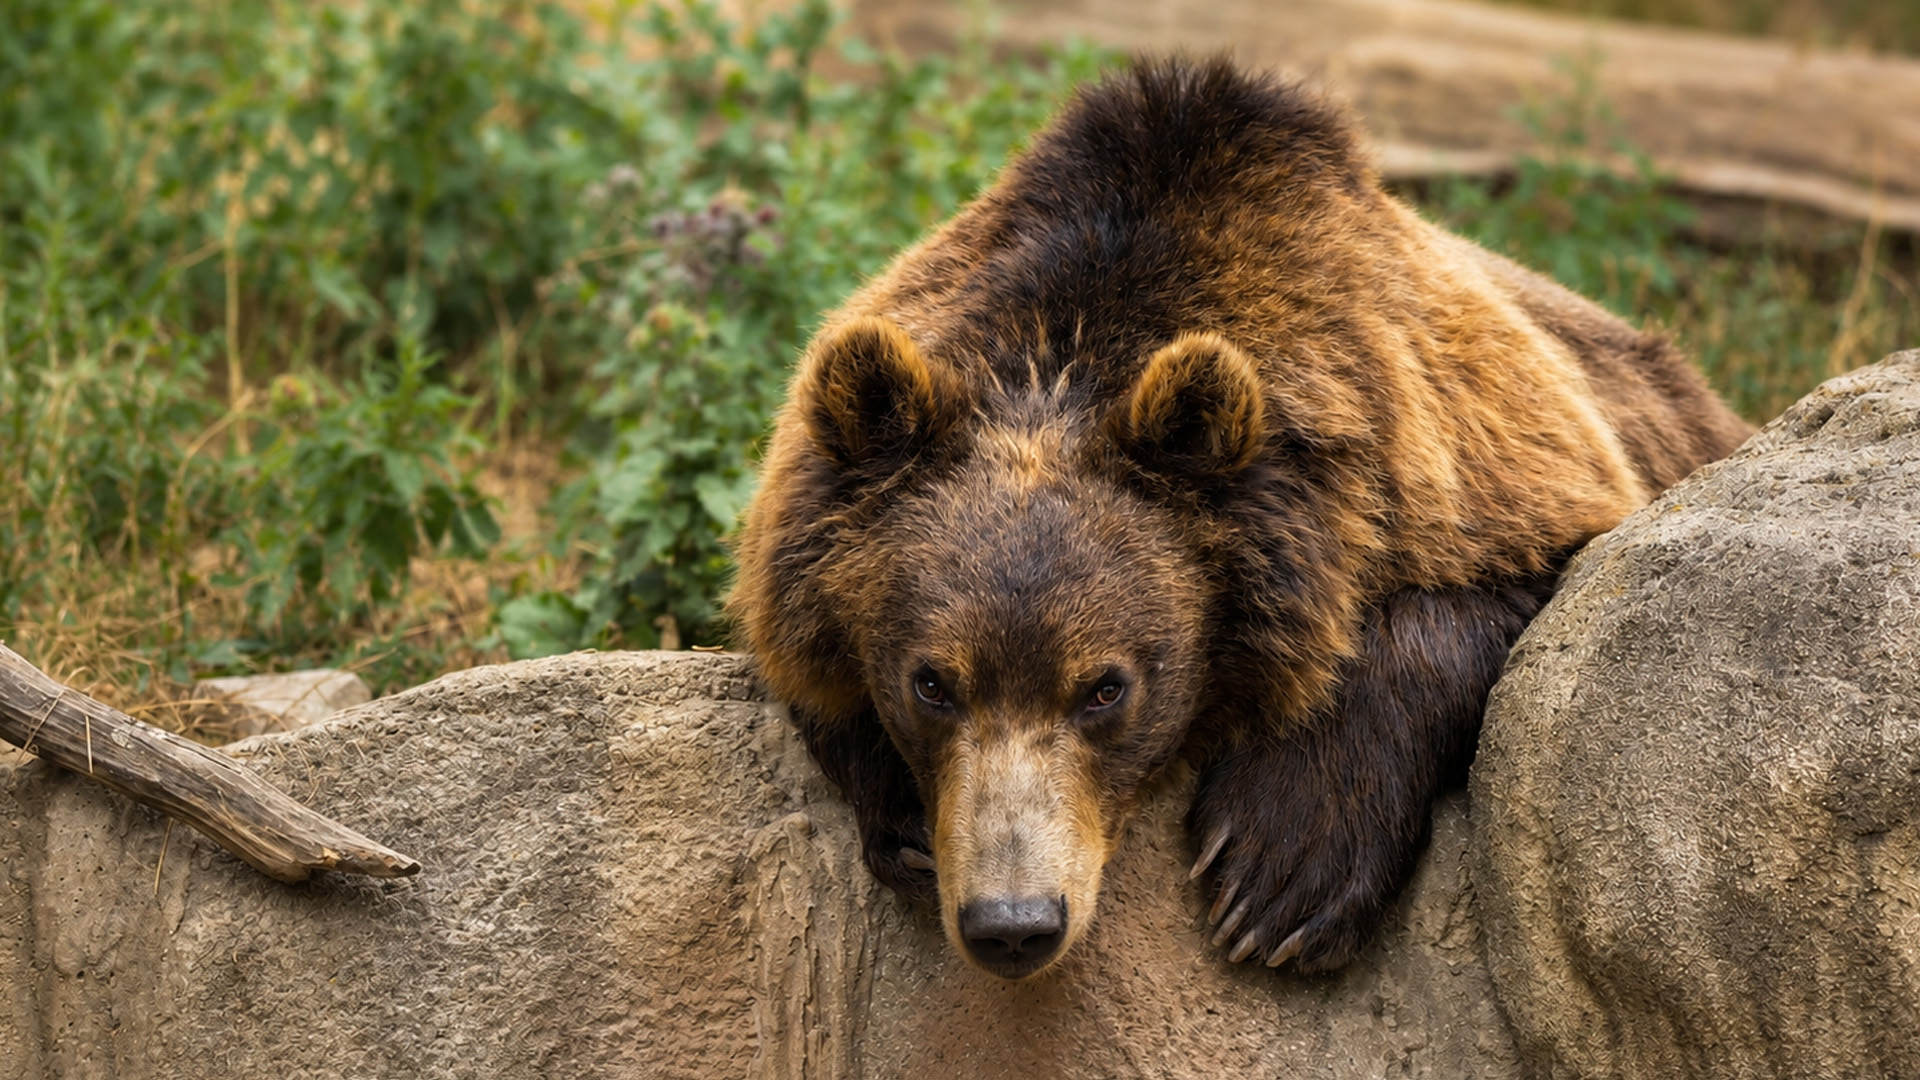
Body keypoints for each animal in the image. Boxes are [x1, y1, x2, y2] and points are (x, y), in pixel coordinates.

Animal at [728, 57, 1753, 980]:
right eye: (932, 682)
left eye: (1105, 687)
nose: (1013, 924)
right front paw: (902, 817)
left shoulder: (1470, 455)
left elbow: (1523, 583)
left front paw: (1278, 872)